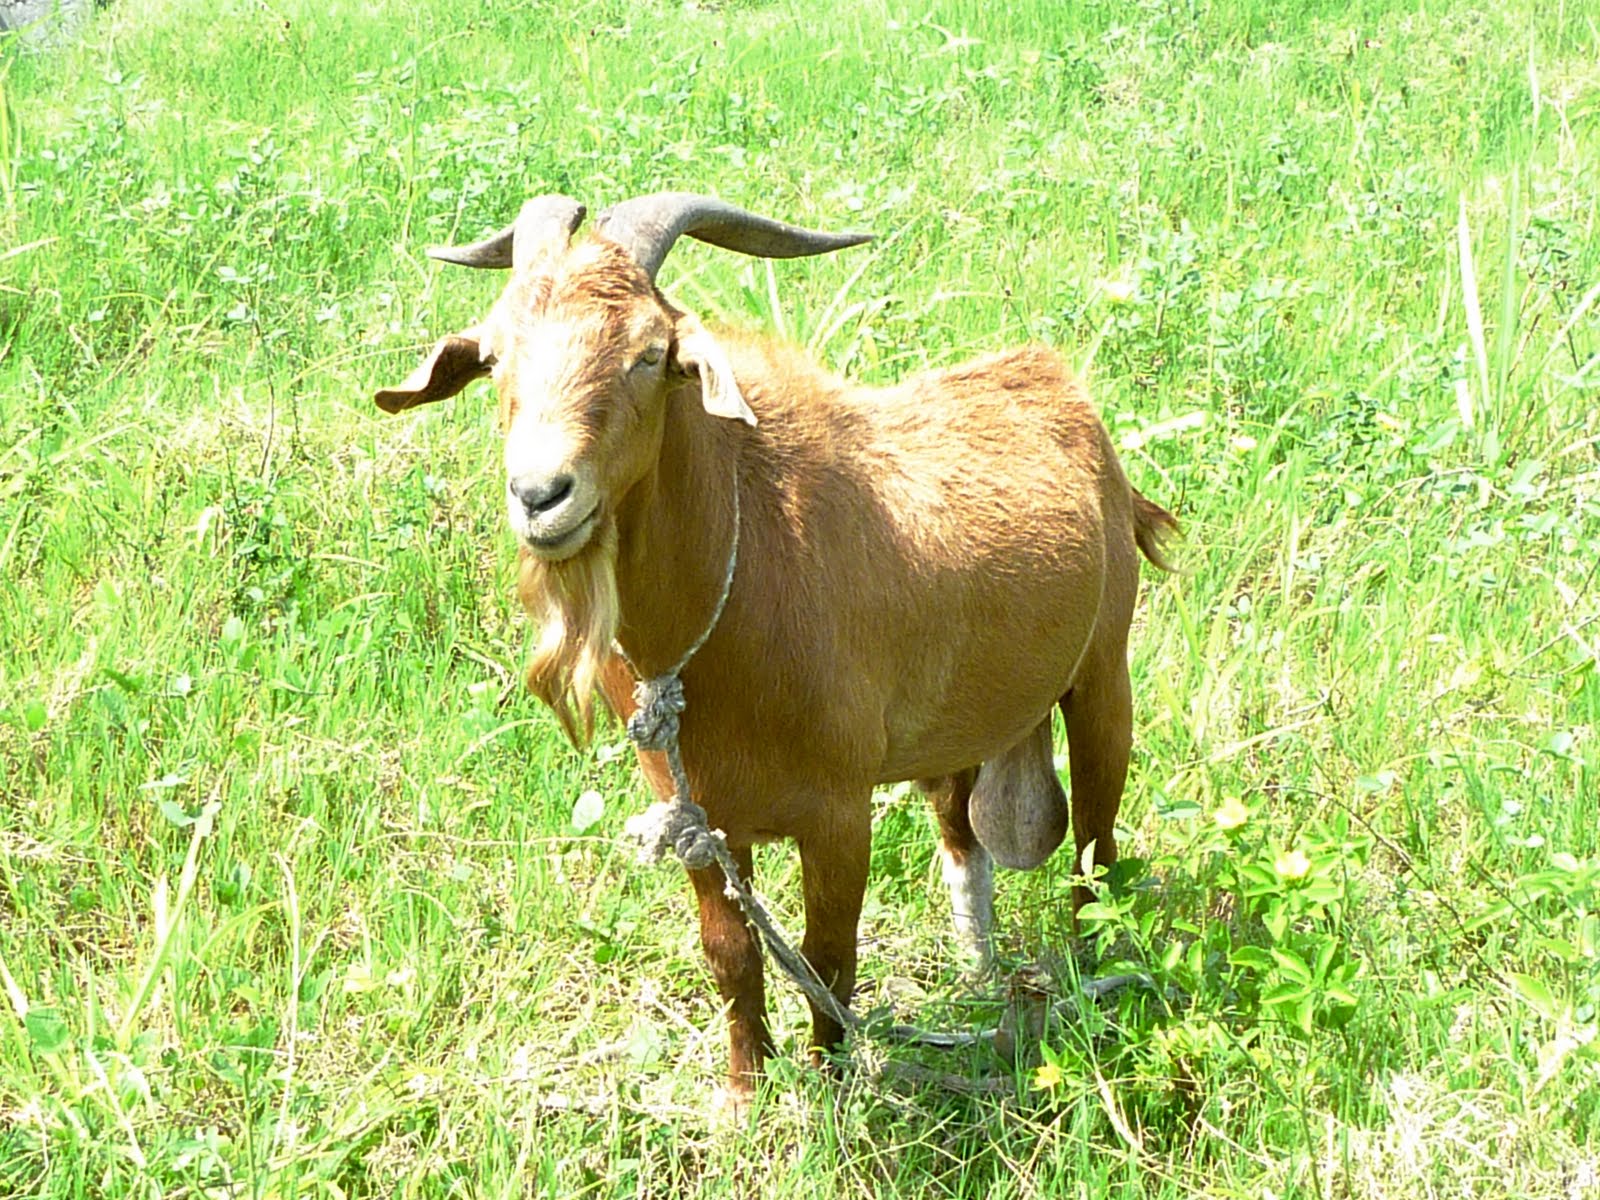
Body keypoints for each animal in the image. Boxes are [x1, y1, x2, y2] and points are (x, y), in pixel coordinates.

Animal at [374, 193, 1176, 1099]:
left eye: (648, 354)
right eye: (495, 355)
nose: (542, 495)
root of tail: (1056, 386)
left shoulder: (838, 810)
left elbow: (827, 959)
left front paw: (829, 1090)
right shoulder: (696, 812)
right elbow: (731, 954)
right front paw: (744, 1089)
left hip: (1104, 675)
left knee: (1096, 851)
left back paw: (1088, 975)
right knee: (962, 829)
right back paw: (978, 972)